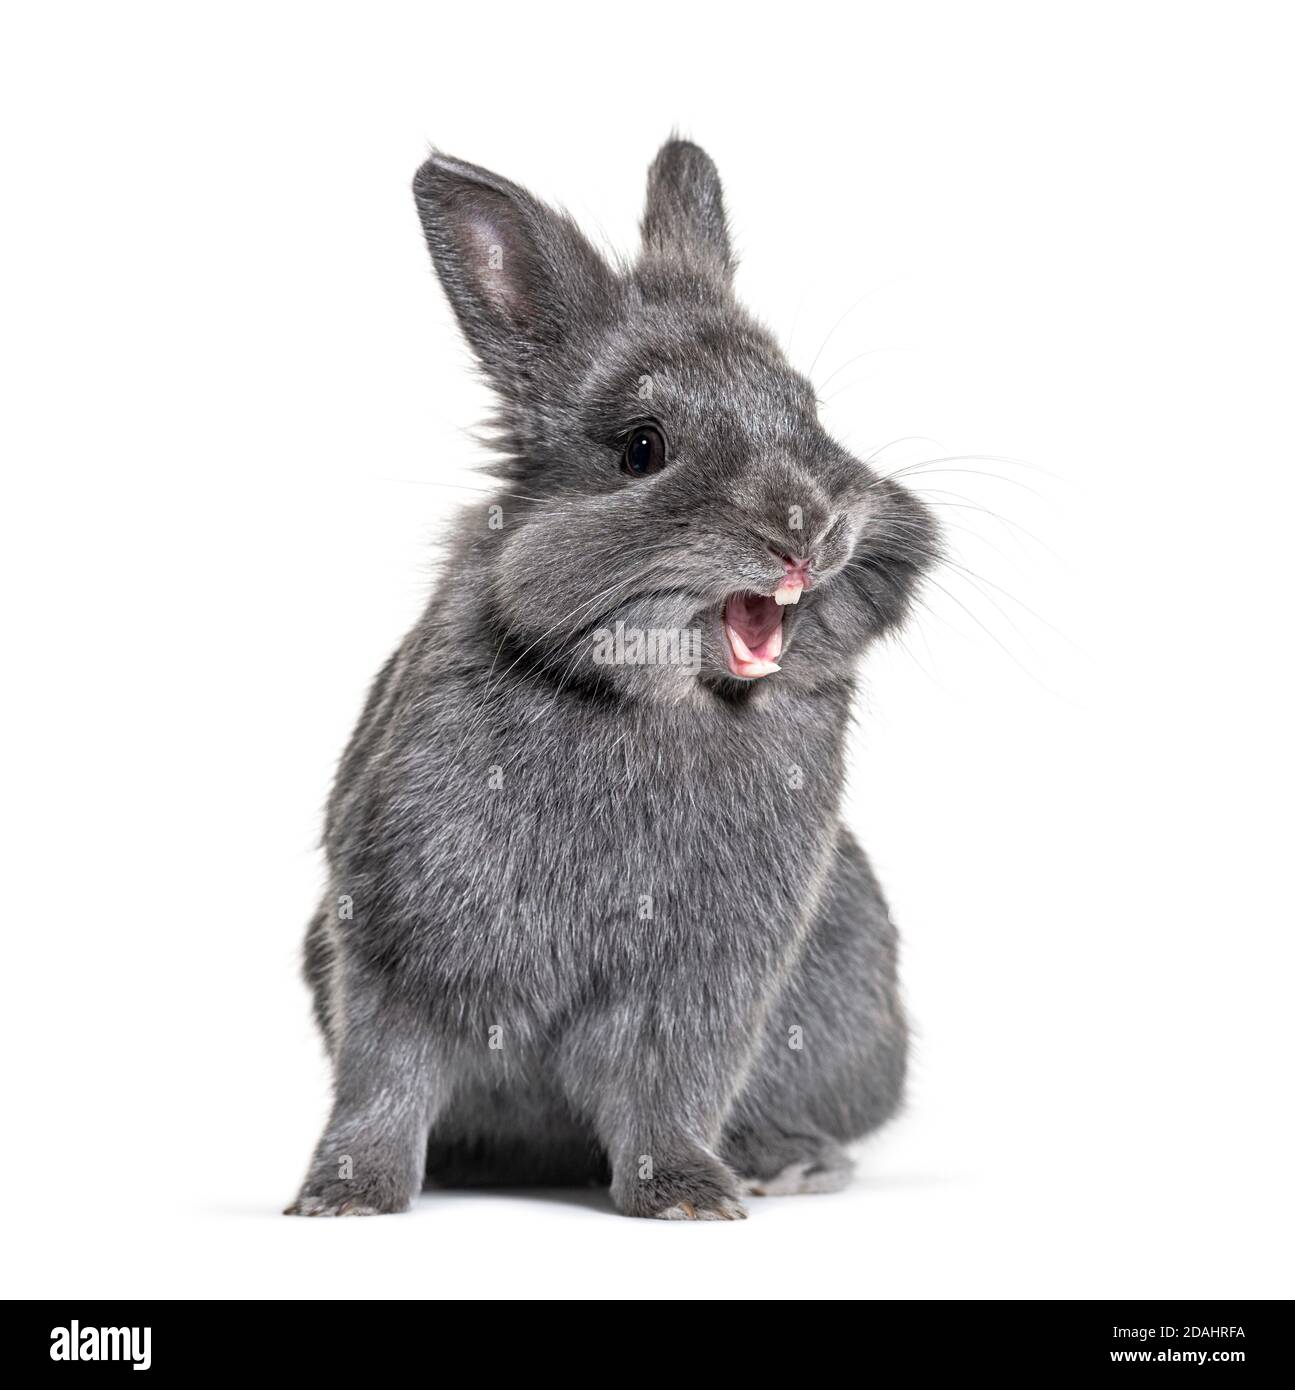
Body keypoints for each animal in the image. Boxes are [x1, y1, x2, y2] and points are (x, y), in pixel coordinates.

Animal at [286, 137, 939, 1219]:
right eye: (642, 448)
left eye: (805, 411)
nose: (805, 529)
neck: (655, 702)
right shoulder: (393, 941)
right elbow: (385, 1078)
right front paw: (343, 1197)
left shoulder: (706, 980)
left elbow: (670, 1086)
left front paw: (687, 1193)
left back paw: (788, 1160)